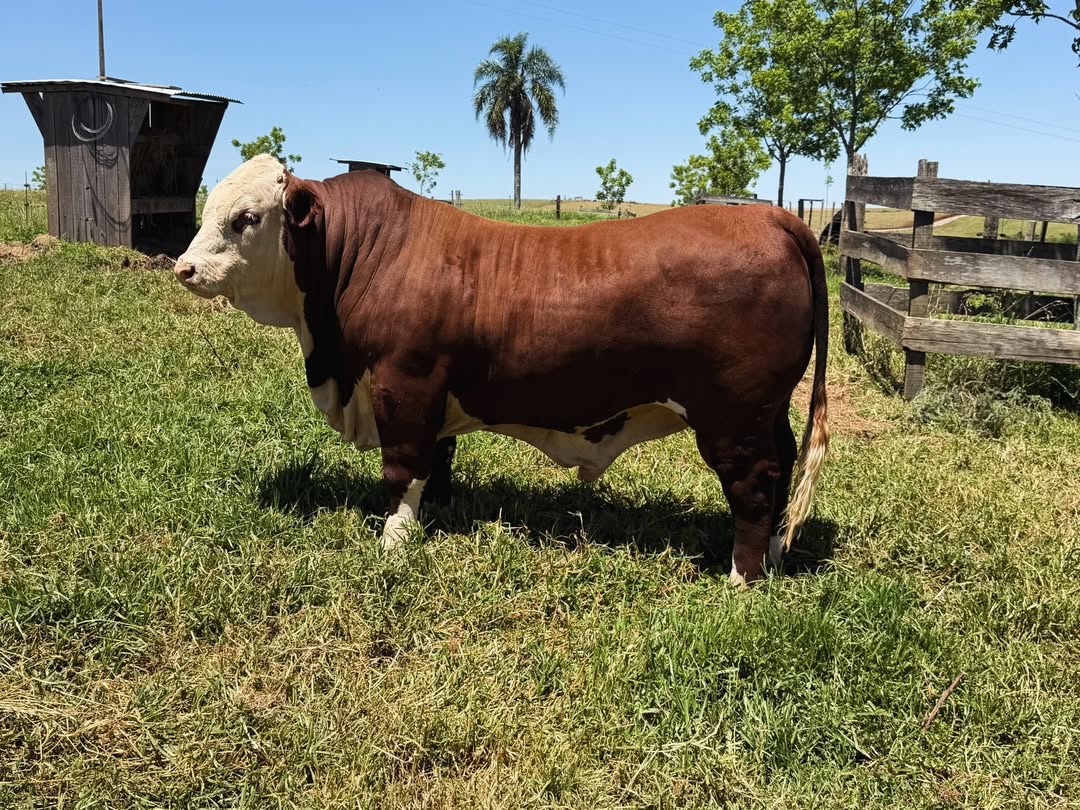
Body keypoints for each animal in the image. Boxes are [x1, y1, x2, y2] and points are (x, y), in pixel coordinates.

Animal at [174, 154, 828, 585]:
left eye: (247, 217)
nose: (184, 268)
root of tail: (772, 218)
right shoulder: (431, 394)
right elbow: (437, 460)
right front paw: (436, 514)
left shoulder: (403, 384)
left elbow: (402, 468)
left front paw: (395, 542)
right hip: (767, 411)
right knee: (784, 466)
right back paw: (774, 554)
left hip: (732, 416)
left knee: (755, 483)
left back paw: (742, 578)